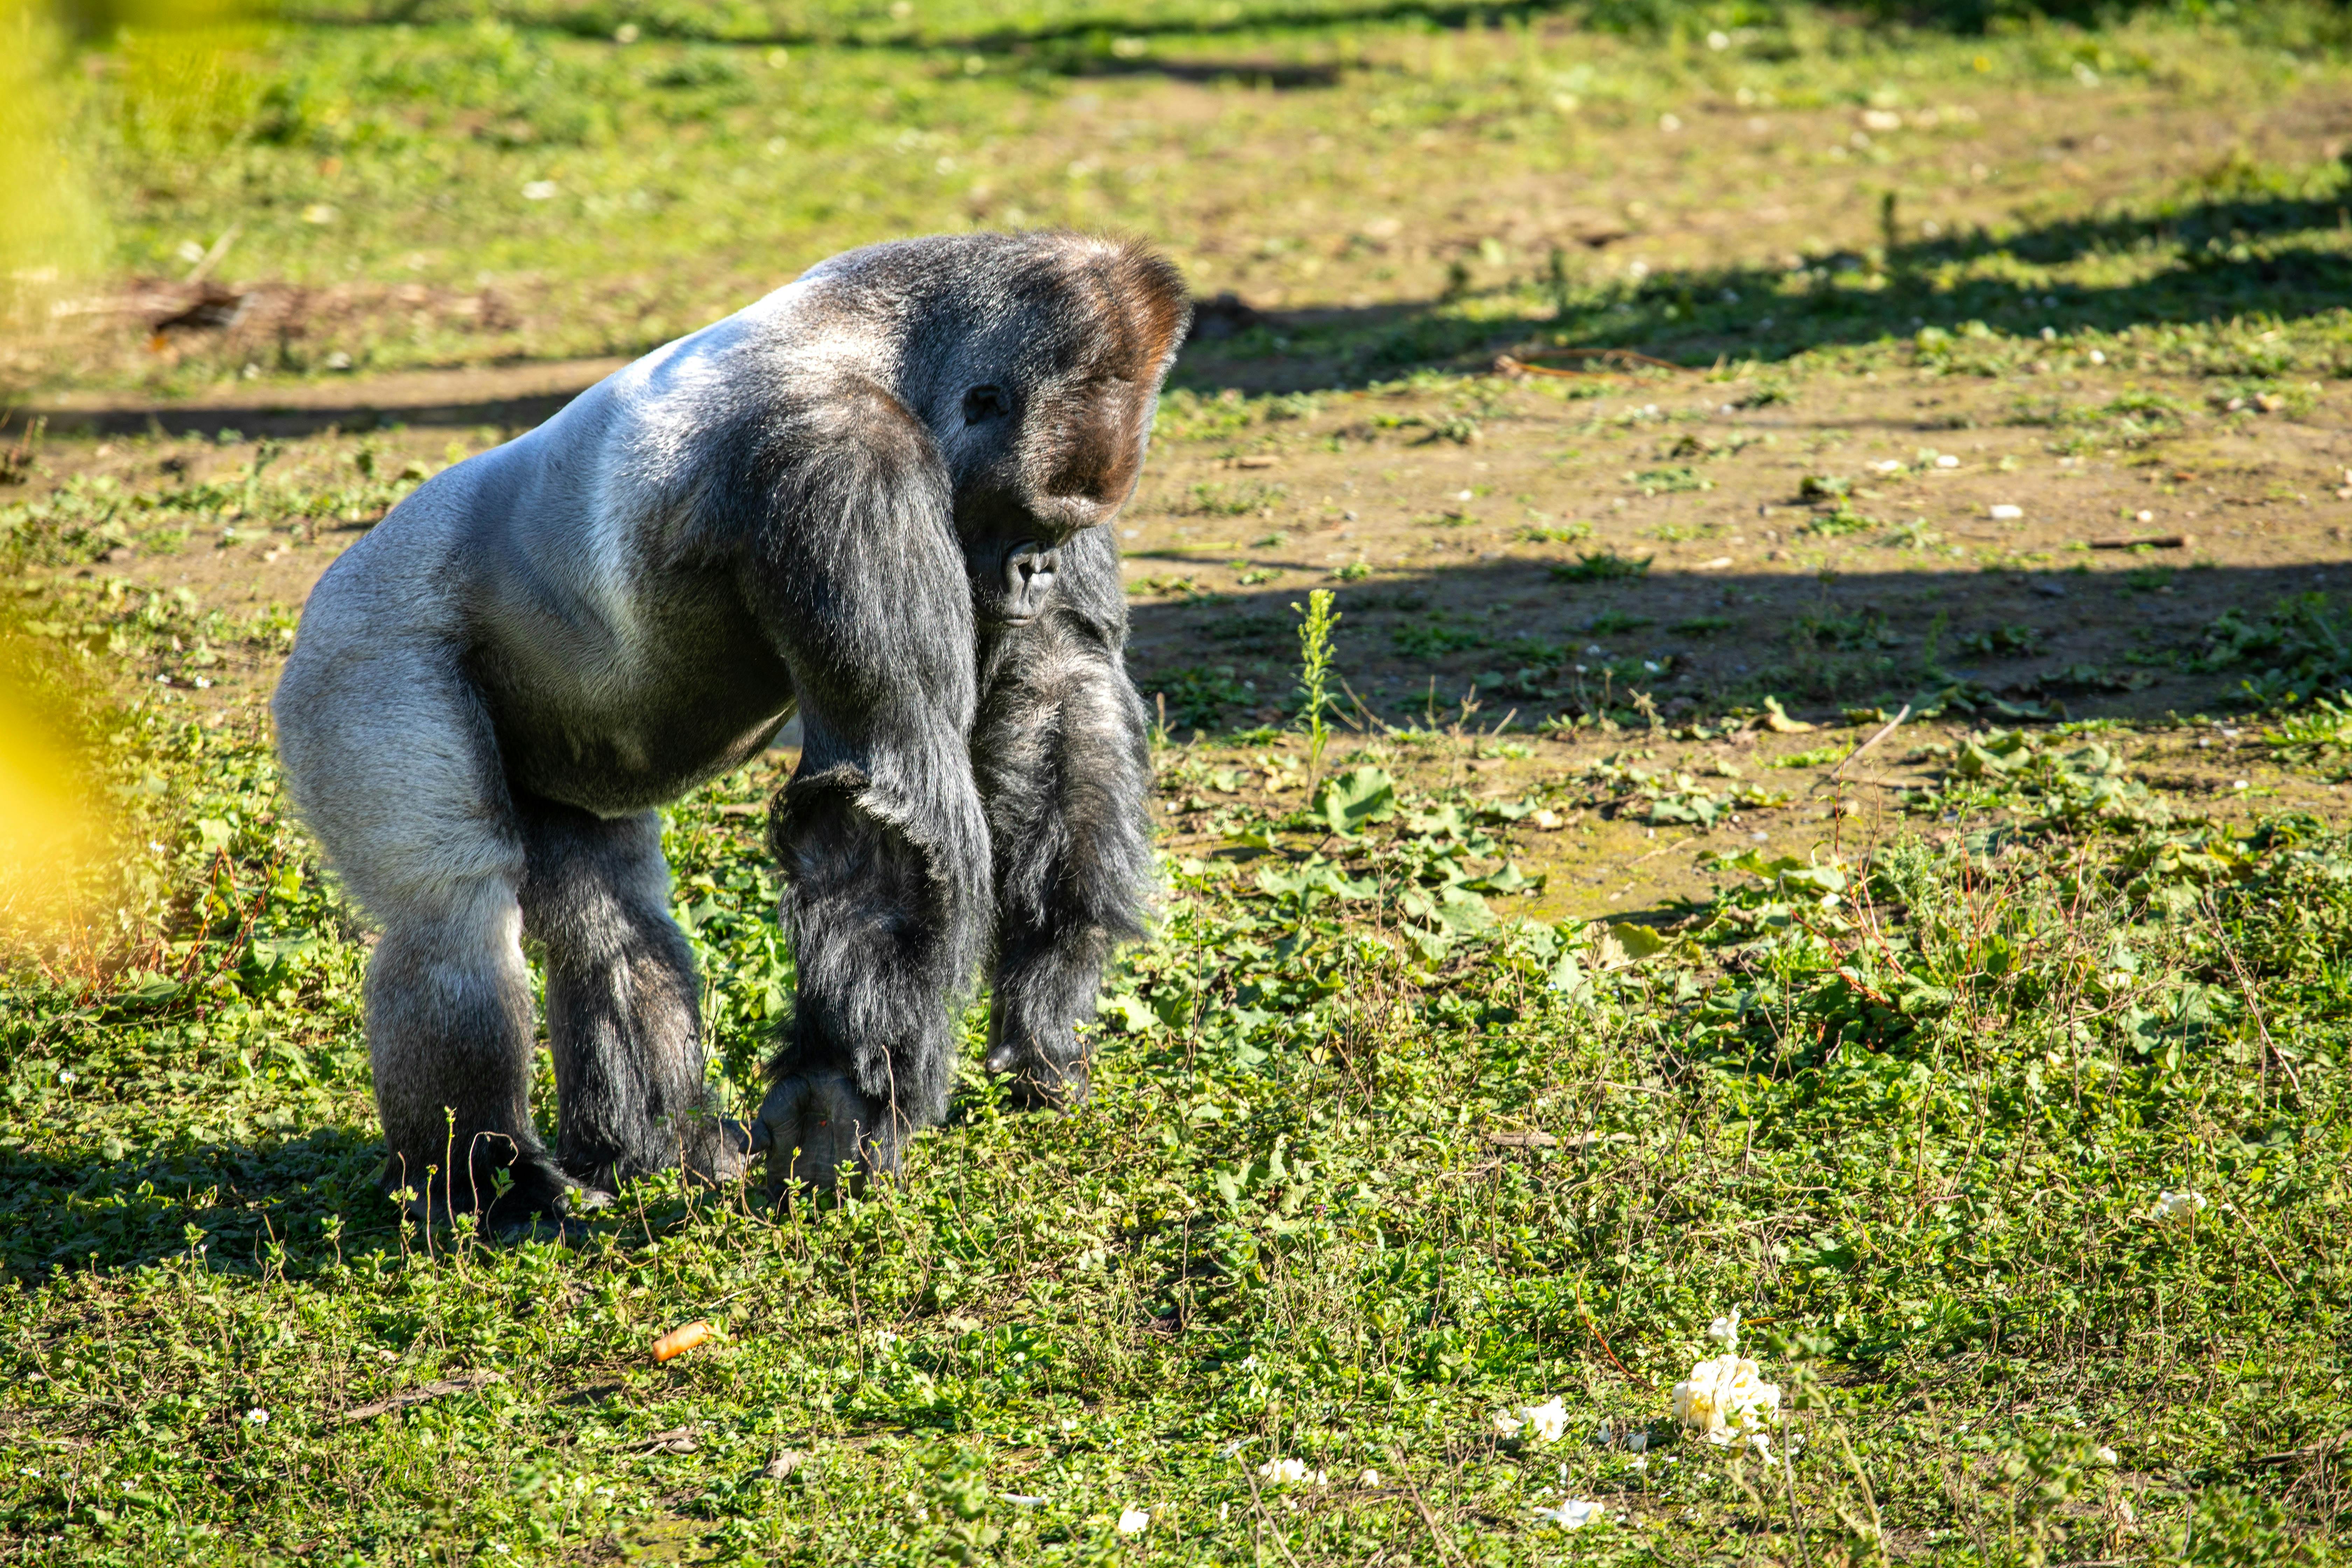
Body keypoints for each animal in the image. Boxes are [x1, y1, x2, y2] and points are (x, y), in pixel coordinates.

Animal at [271, 232, 1190, 1227]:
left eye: (1062, 529)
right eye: (1025, 518)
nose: (1036, 568)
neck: (897, 349)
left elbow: (1056, 684)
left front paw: (1045, 1010)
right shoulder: (843, 461)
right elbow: (886, 783)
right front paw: (839, 1102)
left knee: (609, 919)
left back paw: (653, 1151)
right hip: (354, 650)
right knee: (451, 919)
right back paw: (487, 1188)